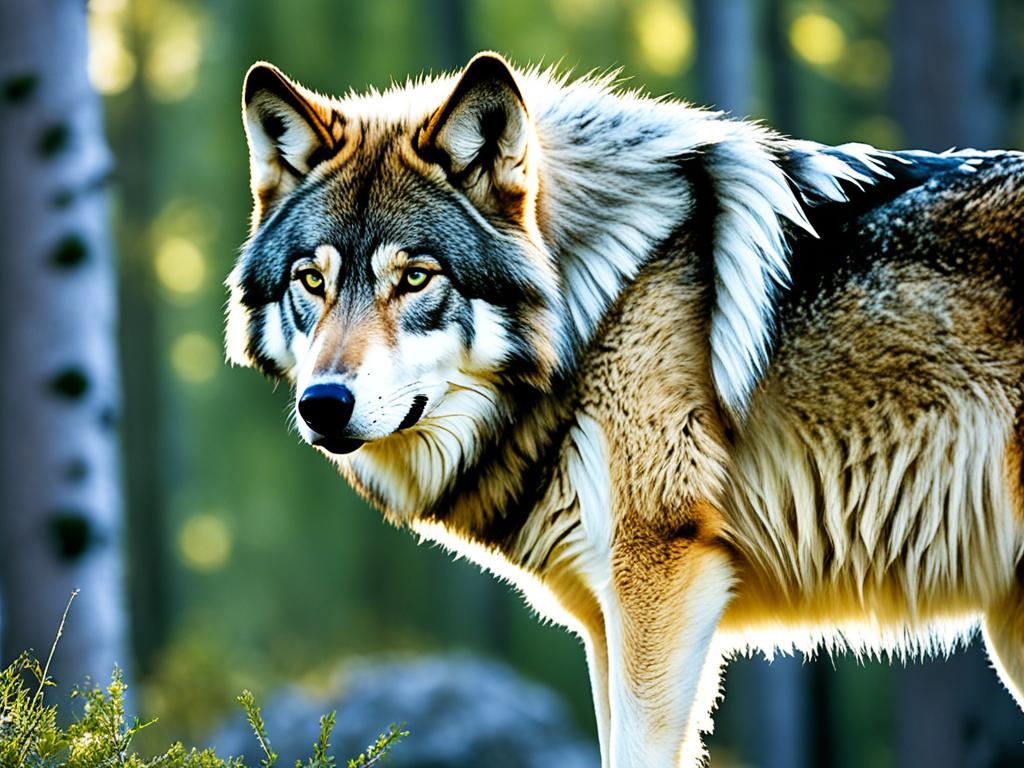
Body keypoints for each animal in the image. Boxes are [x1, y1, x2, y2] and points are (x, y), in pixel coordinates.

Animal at [225, 52, 1024, 767]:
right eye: (311, 280)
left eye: (416, 277)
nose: (324, 404)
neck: (603, 295)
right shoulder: (604, 622)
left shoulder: (662, 583)